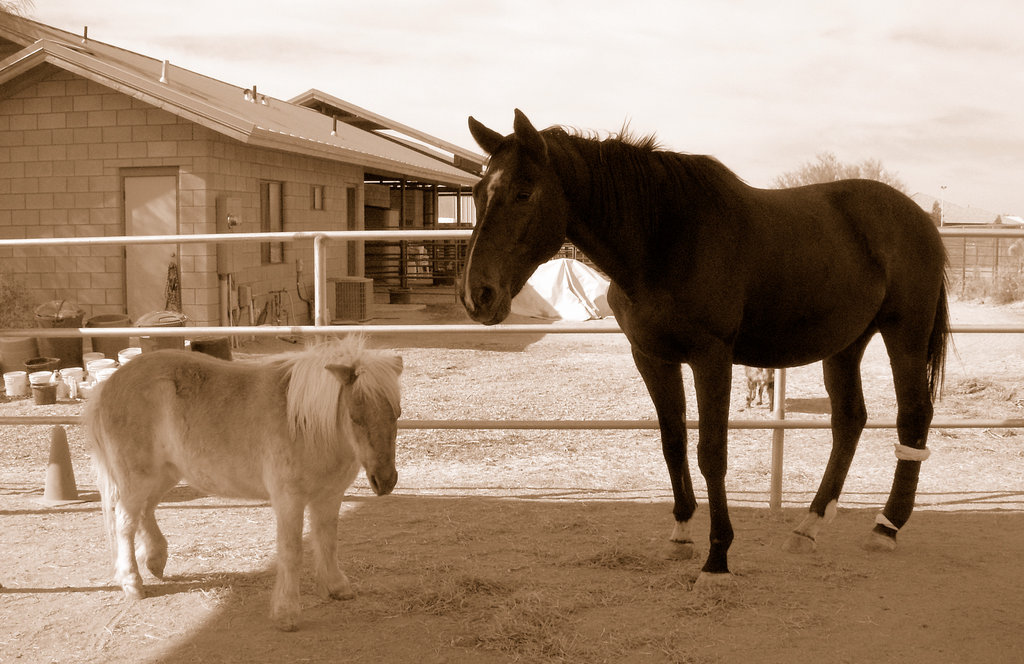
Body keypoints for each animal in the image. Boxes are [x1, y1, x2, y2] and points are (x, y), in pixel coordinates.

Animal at [86, 337, 404, 630]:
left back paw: (154, 560)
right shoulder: (289, 500)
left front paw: (336, 586)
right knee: (125, 521)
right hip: (138, 477)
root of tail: (109, 385)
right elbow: (291, 551)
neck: (306, 425)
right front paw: (286, 612)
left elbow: (328, 541)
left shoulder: (329, 496)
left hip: (162, 475)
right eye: (355, 416)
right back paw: (132, 582)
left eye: (397, 413)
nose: (385, 480)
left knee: (145, 511)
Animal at [460, 110, 949, 586]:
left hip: (904, 334)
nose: (476, 295)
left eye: (524, 193)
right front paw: (680, 535)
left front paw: (718, 558)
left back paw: (886, 527)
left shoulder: (712, 358)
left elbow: (711, 453)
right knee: (849, 420)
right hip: (846, 343)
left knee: (913, 415)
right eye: (479, 192)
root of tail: (917, 217)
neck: (665, 238)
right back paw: (808, 526)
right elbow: (673, 442)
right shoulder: (652, 357)